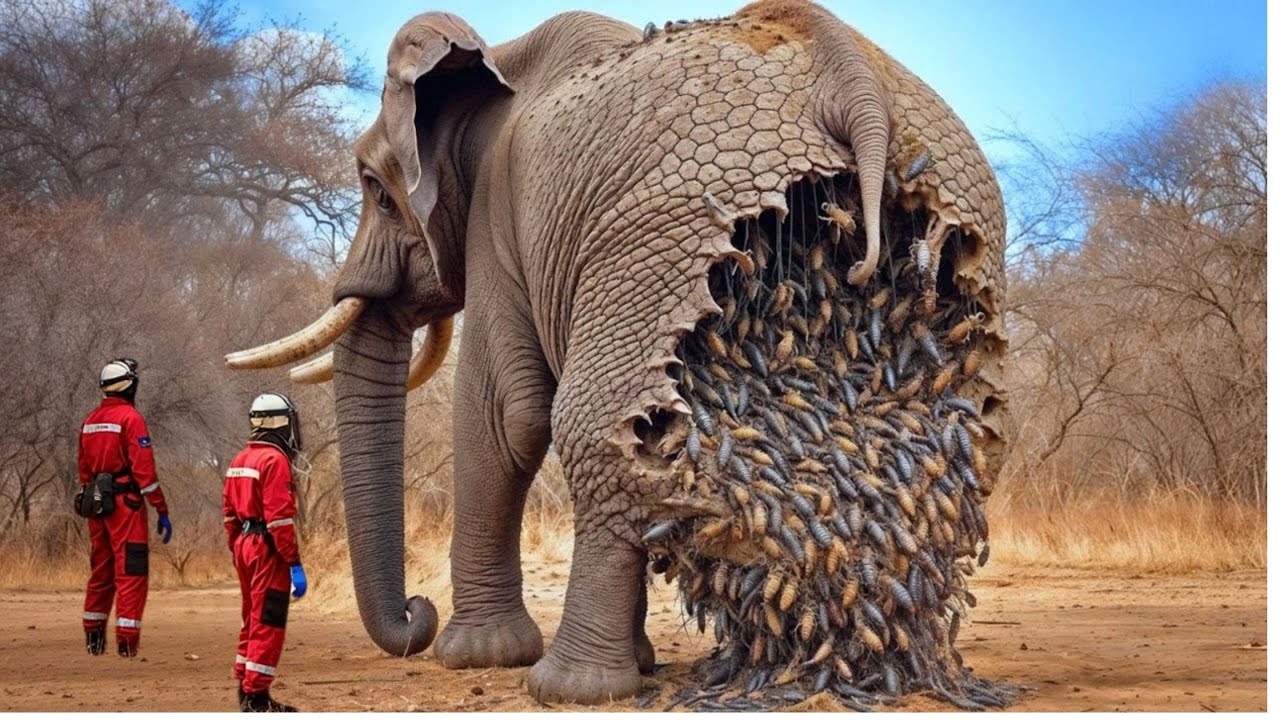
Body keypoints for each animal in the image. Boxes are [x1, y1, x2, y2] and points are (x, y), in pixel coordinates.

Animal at [226, 0, 1007, 705]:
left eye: (377, 191)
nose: (418, 614)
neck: (498, 59)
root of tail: (854, 86)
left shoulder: (499, 219)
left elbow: (503, 419)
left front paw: (477, 657)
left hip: (658, 232)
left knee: (592, 431)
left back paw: (569, 688)